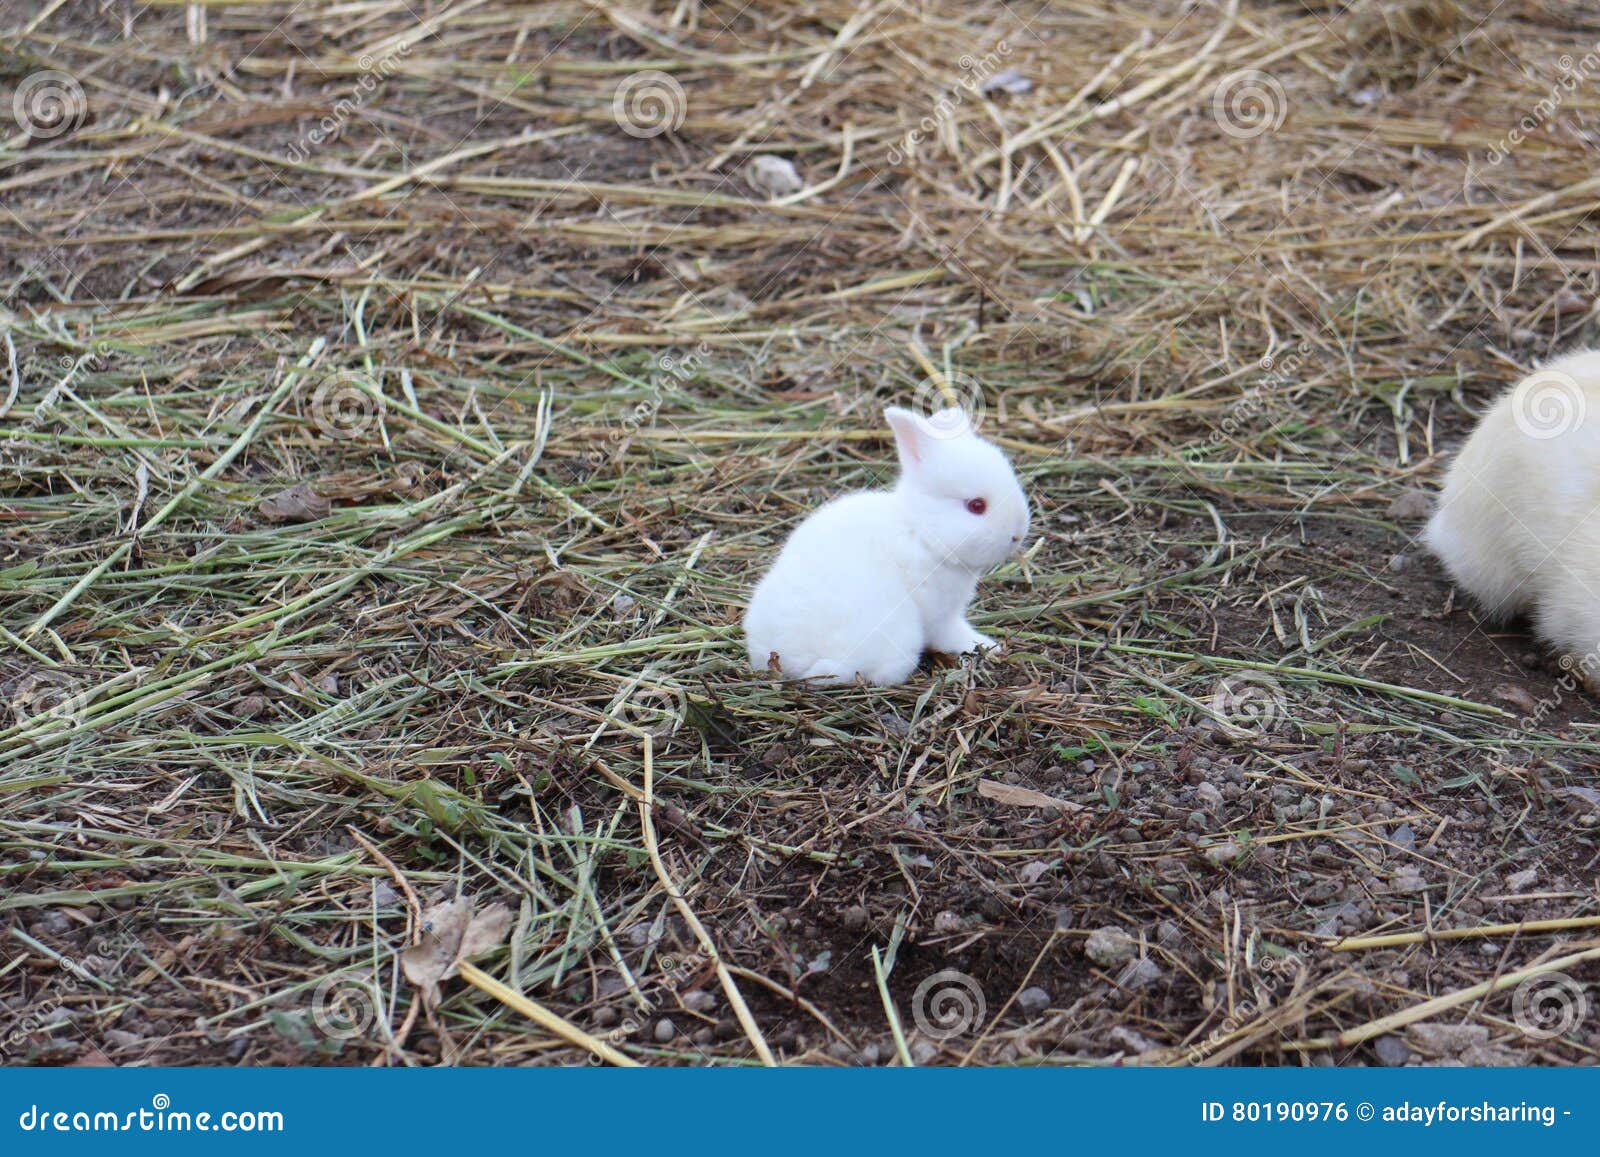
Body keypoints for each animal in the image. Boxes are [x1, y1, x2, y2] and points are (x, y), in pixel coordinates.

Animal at [743, 405, 1029, 686]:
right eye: (976, 506)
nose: (1018, 534)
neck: (922, 532)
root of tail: (793, 659)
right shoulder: (940, 617)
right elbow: (951, 634)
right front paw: (986, 644)